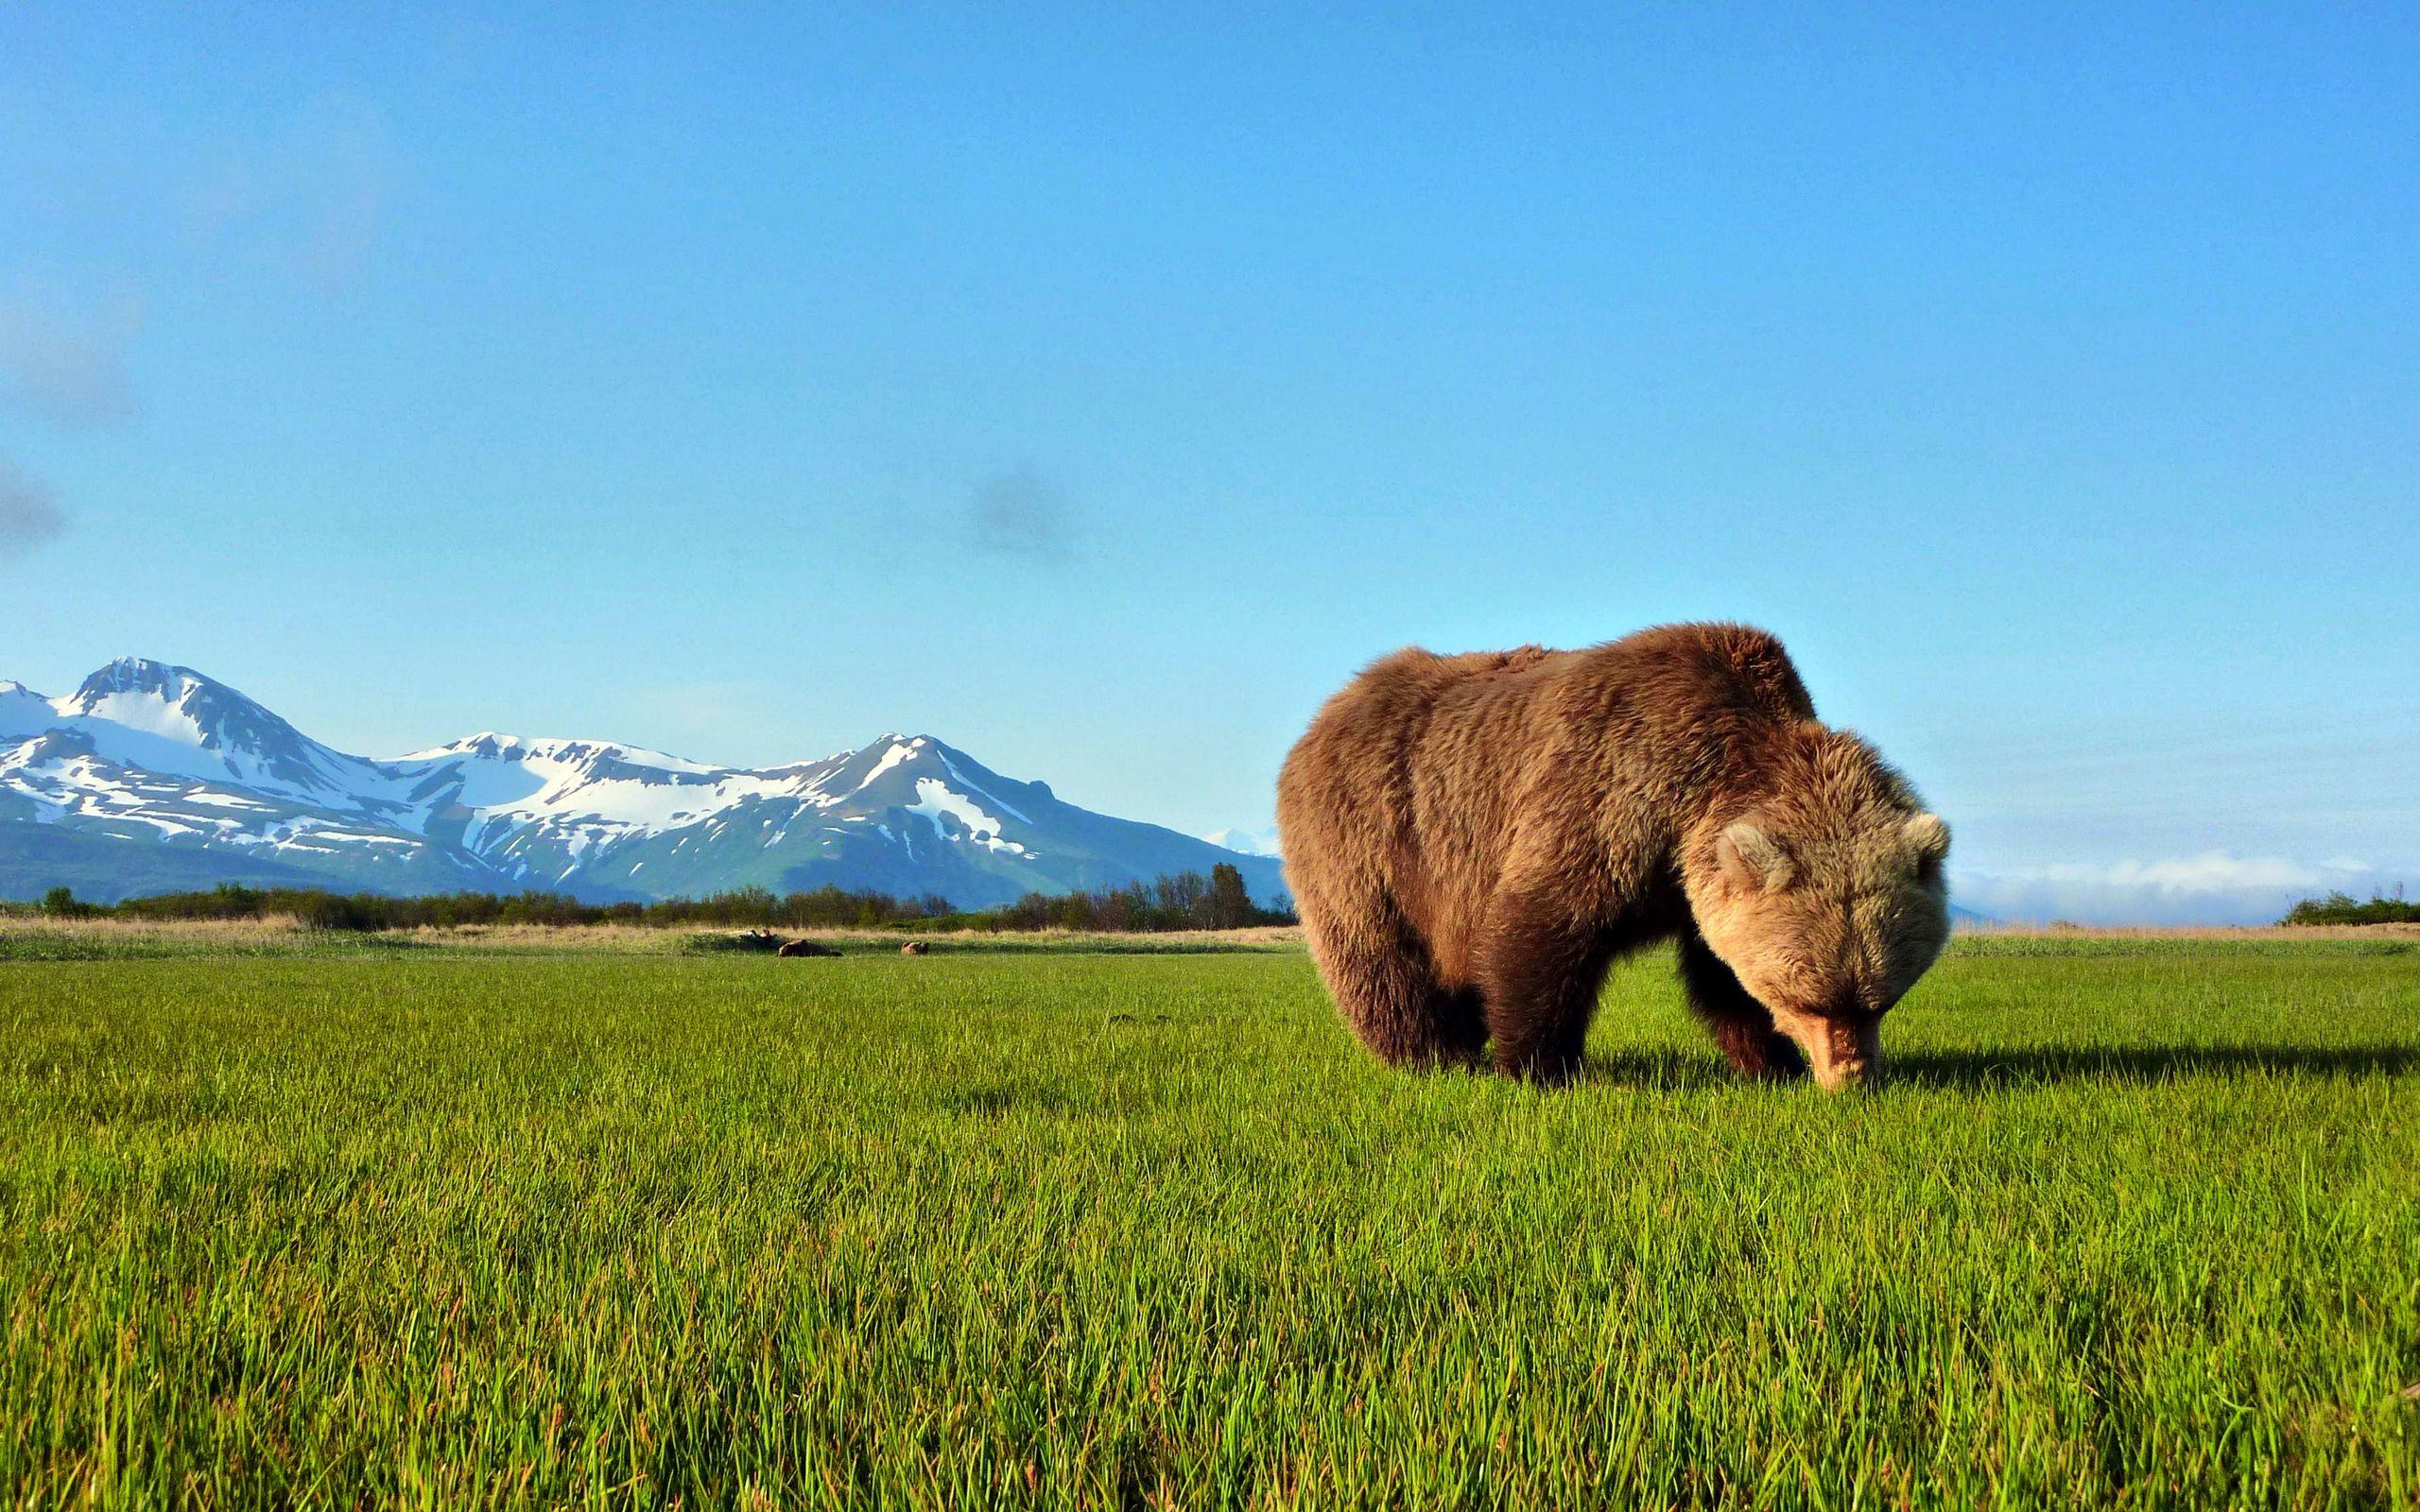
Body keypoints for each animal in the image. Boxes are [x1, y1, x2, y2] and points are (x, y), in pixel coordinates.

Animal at [1274, 623, 1950, 1090]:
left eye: (1882, 997)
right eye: (1810, 997)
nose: (1851, 1078)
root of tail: (1331, 707)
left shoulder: (1692, 877)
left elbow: (1719, 975)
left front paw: (1770, 1062)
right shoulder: (1609, 794)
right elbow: (1542, 929)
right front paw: (1540, 1067)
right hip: (1373, 839)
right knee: (1381, 959)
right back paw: (1435, 1056)